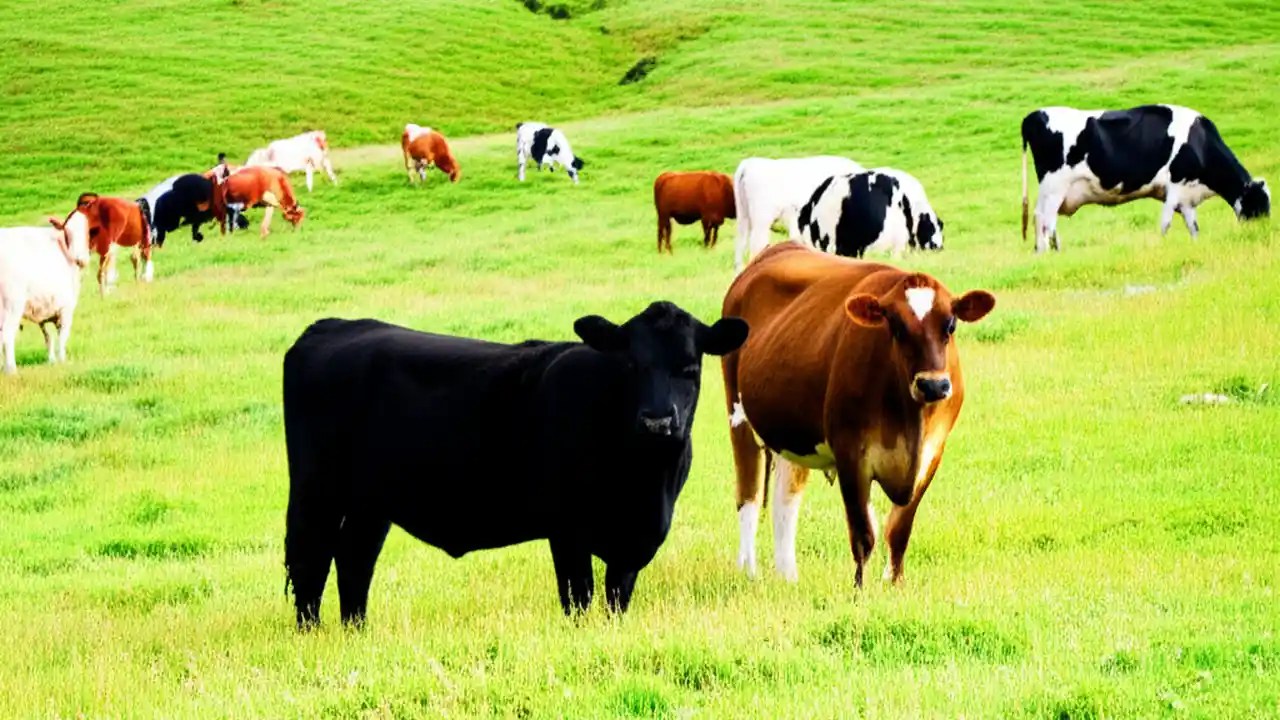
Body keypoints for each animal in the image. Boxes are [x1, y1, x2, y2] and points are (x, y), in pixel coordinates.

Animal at [0, 218, 91, 375]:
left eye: (87, 232)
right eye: (68, 233)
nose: (81, 259)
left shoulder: (46, 309)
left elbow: (49, 336)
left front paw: (52, 361)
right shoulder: (66, 308)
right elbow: (63, 336)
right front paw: (62, 360)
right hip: (12, 305)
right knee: (7, 335)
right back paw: (11, 369)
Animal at [282, 301, 748, 628]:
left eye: (689, 367)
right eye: (631, 363)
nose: (657, 421)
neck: (646, 481)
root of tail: (332, 326)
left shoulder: (633, 542)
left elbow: (616, 599)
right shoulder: (567, 530)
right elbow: (578, 597)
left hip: (371, 502)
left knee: (353, 559)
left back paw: (356, 629)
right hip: (316, 490)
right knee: (310, 560)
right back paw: (312, 633)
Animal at [721, 242, 994, 587]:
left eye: (951, 325)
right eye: (896, 326)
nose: (933, 385)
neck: (910, 420)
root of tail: (777, 248)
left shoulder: (933, 454)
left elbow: (899, 530)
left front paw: (896, 584)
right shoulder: (850, 452)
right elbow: (864, 533)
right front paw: (859, 589)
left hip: (791, 431)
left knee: (785, 501)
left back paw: (788, 576)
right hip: (738, 417)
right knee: (749, 496)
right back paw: (749, 570)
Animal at [1021, 104, 1271, 252]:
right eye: (1259, 203)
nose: (1264, 231)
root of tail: (1034, 115)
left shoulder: (1187, 198)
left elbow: (1194, 227)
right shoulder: (1175, 187)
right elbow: (1165, 223)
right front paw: (1162, 245)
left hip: (1049, 190)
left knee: (1038, 217)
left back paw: (1042, 252)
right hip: (1055, 187)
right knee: (1047, 221)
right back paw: (1052, 251)